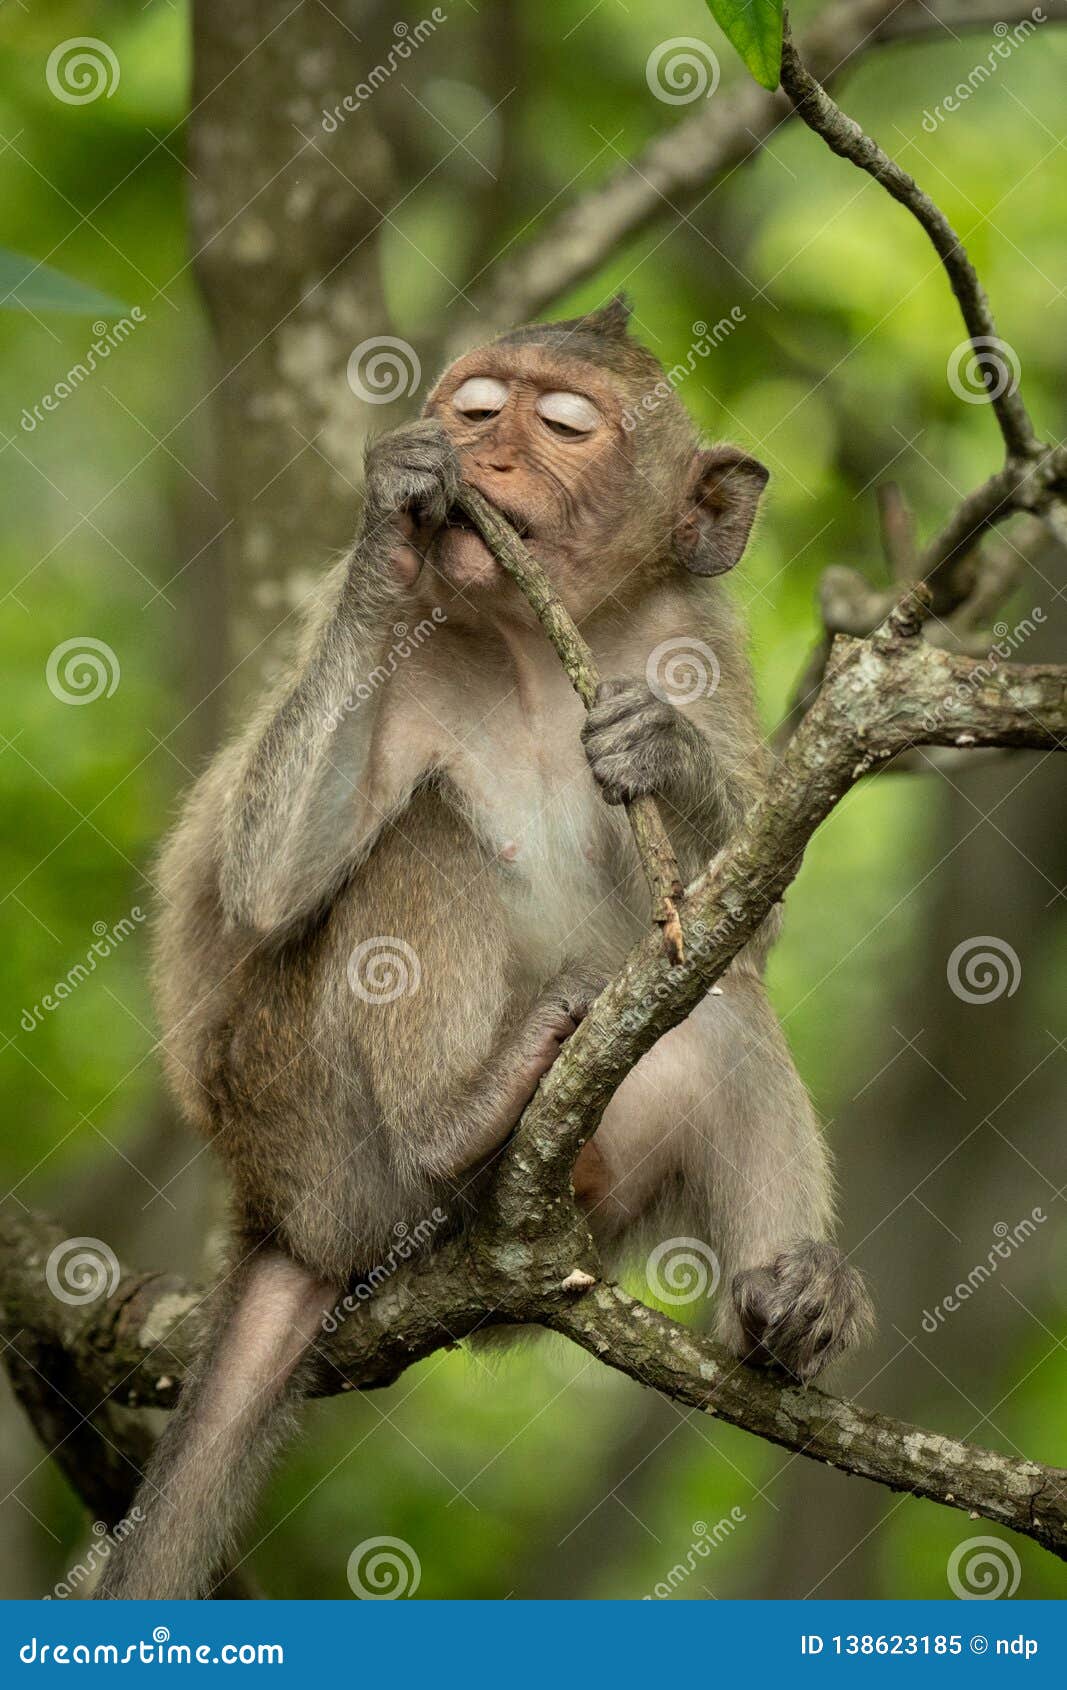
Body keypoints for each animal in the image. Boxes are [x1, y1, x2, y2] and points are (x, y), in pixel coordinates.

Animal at [95, 296, 871, 1600]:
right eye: (471, 407)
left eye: (560, 425)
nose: (481, 460)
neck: (527, 644)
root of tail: (266, 1211)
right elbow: (258, 884)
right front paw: (392, 507)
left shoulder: (694, 638)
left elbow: (742, 923)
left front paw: (657, 751)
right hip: (309, 1132)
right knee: (418, 834)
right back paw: (456, 1119)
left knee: (712, 1000)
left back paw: (787, 1301)